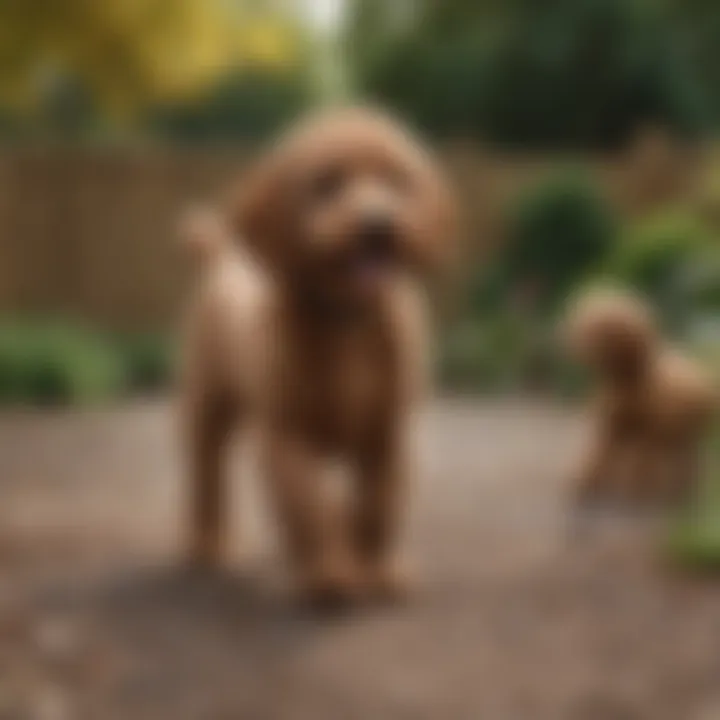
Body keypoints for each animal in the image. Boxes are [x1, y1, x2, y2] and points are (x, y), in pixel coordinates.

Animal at [177, 104, 456, 604]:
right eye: (327, 183)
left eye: (397, 181)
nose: (377, 226)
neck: (347, 319)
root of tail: (224, 256)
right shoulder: (290, 436)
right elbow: (309, 508)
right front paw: (331, 576)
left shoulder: (386, 434)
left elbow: (377, 506)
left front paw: (377, 571)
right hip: (208, 405)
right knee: (207, 475)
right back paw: (207, 546)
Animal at [564, 286, 716, 512]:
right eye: (585, 316)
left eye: (601, 326)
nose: (568, 334)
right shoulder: (615, 427)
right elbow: (600, 457)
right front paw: (587, 487)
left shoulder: (645, 431)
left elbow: (636, 465)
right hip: (677, 438)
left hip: (679, 437)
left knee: (682, 466)